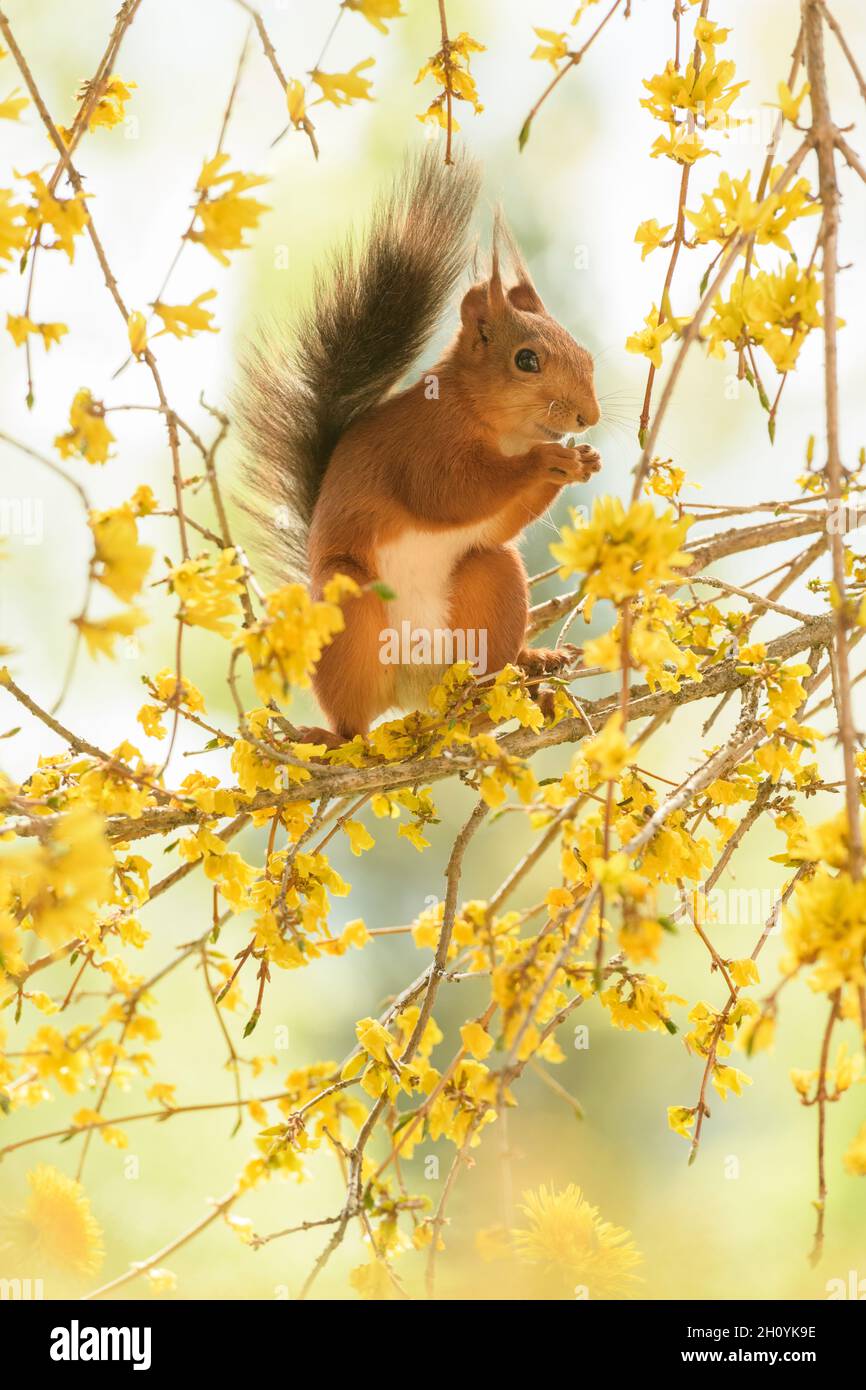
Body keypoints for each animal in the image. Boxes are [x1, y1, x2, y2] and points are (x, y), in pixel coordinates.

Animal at [240, 149, 601, 747]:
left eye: (588, 356)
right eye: (526, 360)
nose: (588, 418)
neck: (498, 429)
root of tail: (419, 688)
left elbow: (498, 520)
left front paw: (582, 462)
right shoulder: (422, 446)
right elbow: (448, 494)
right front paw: (545, 461)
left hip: (490, 583)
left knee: (488, 644)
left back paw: (528, 672)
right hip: (349, 603)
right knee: (352, 719)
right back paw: (334, 738)